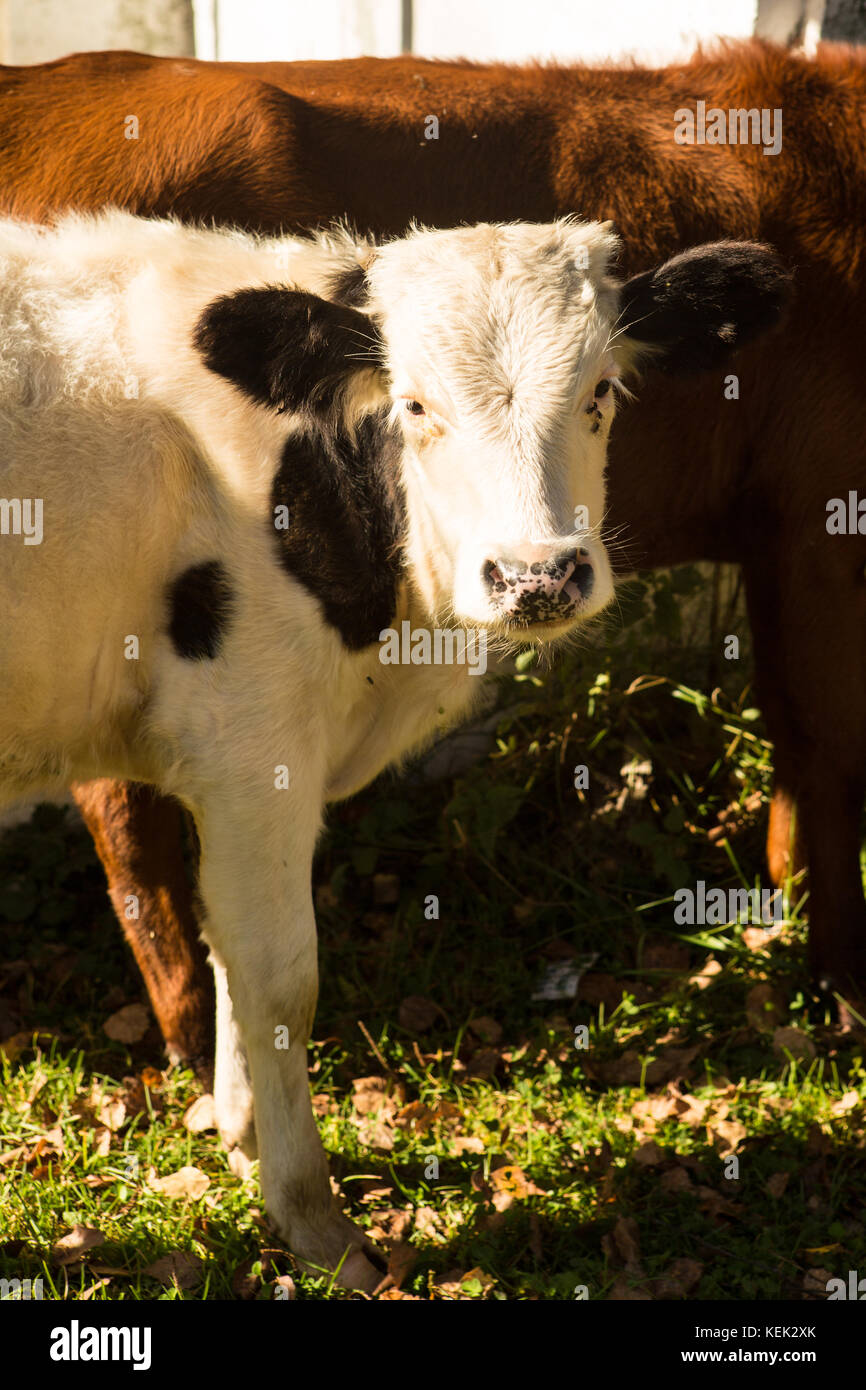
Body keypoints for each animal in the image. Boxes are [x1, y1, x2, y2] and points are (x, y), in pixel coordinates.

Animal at [0, 38, 862, 1068]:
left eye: (605, 389)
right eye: (411, 402)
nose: (539, 576)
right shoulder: (818, 519)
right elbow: (822, 740)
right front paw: (836, 983)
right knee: (126, 826)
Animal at [0, 204, 786, 1282]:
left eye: (601, 390)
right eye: (414, 405)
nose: (536, 576)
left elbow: (229, 950)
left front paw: (245, 1134)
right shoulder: (252, 740)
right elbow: (279, 974)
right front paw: (314, 1221)